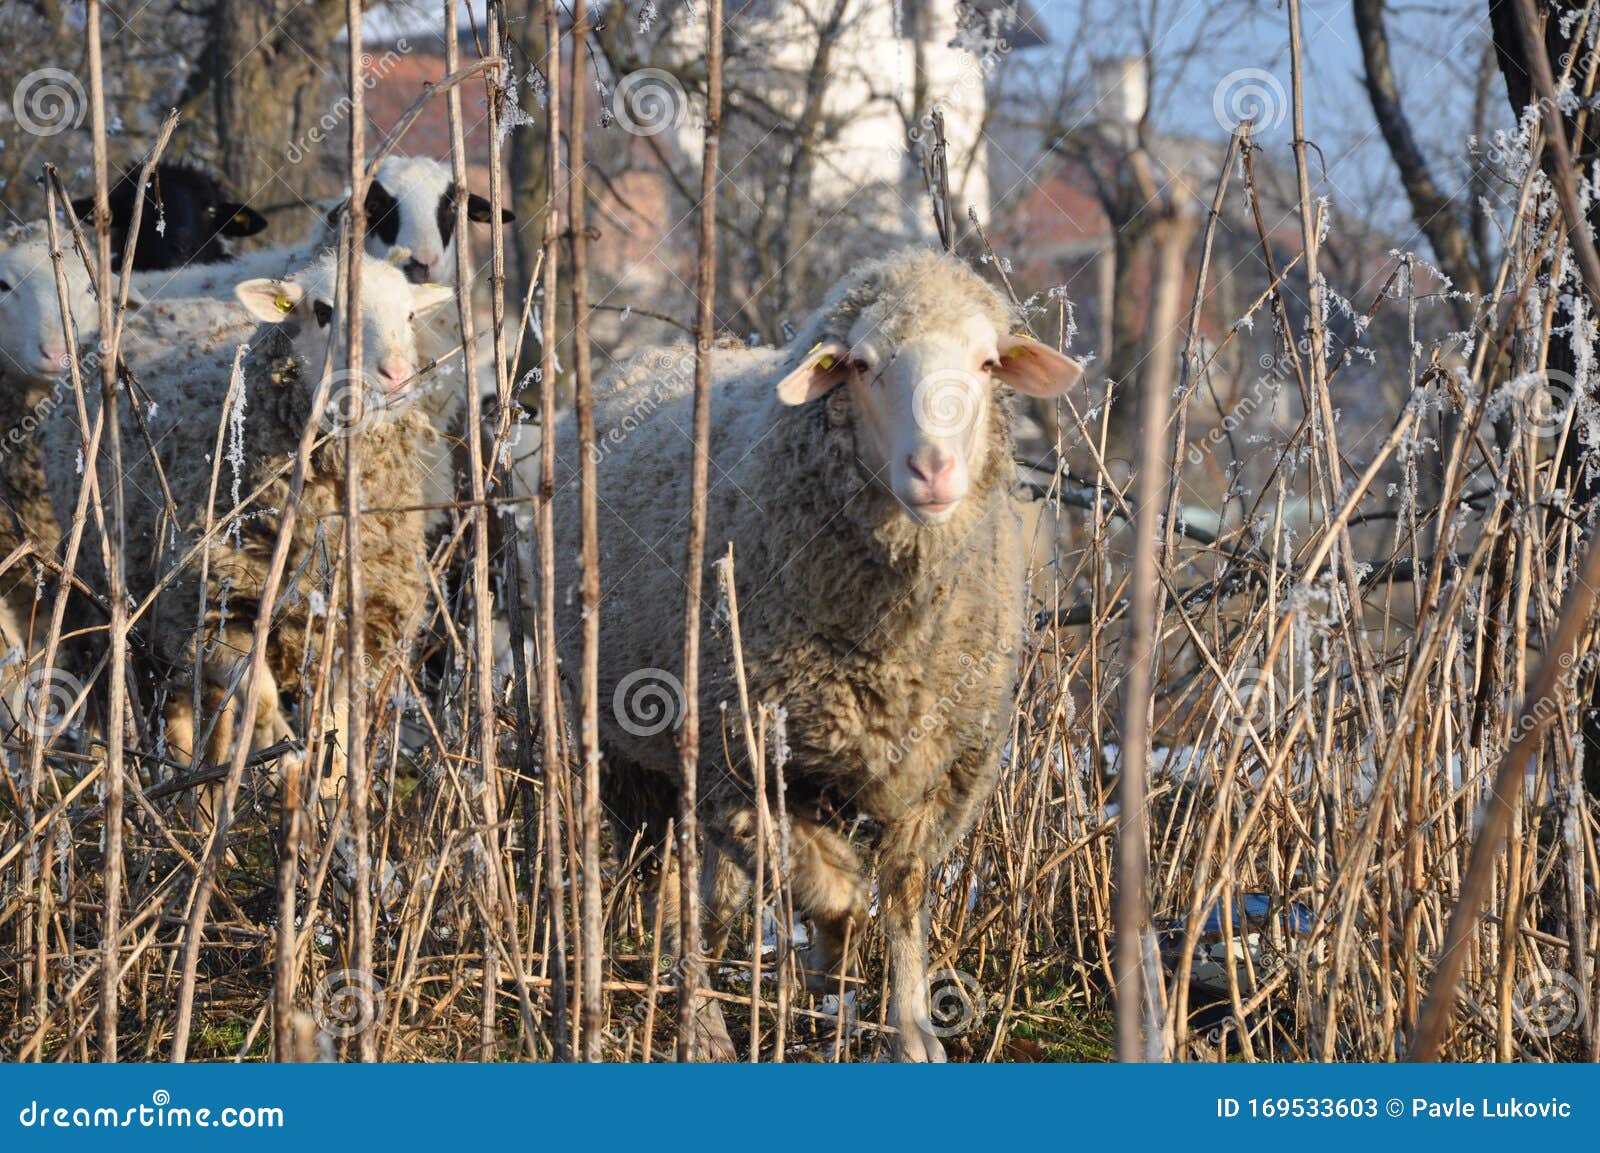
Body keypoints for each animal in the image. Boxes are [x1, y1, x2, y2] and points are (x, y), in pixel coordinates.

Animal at [40, 251, 453, 804]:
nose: (396, 375)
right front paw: (278, 759)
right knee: (174, 715)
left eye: (409, 314)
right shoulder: (218, 612)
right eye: (323, 311)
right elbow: (261, 702)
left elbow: (336, 724)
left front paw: (326, 799)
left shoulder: (359, 628)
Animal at [538, 249, 1081, 1060]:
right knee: (670, 882)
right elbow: (839, 895)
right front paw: (829, 966)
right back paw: (703, 1023)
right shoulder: (743, 764)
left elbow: (902, 897)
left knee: (710, 887)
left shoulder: (942, 772)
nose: (934, 470)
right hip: (634, 746)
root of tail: (654, 358)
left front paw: (910, 1031)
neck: (894, 643)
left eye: (988, 363)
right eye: (863, 364)